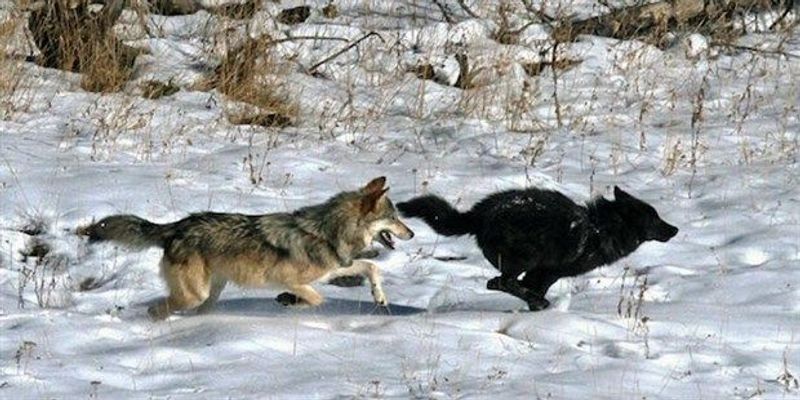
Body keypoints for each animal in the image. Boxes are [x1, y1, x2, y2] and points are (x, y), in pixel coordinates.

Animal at [77, 177, 414, 320]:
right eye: (394, 217)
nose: (411, 232)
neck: (328, 232)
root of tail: (176, 226)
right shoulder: (288, 278)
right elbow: (317, 299)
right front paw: (289, 303)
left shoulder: (333, 268)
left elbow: (372, 266)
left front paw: (380, 297)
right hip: (194, 293)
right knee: (155, 309)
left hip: (209, 293)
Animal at [397, 186, 678, 311]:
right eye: (655, 218)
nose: (675, 229)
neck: (602, 228)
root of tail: (479, 214)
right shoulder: (547, 272)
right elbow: (528, 289)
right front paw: (538, 305)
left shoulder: (540, 275)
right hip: (526, 259)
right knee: (498, 282)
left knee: (501, 283)